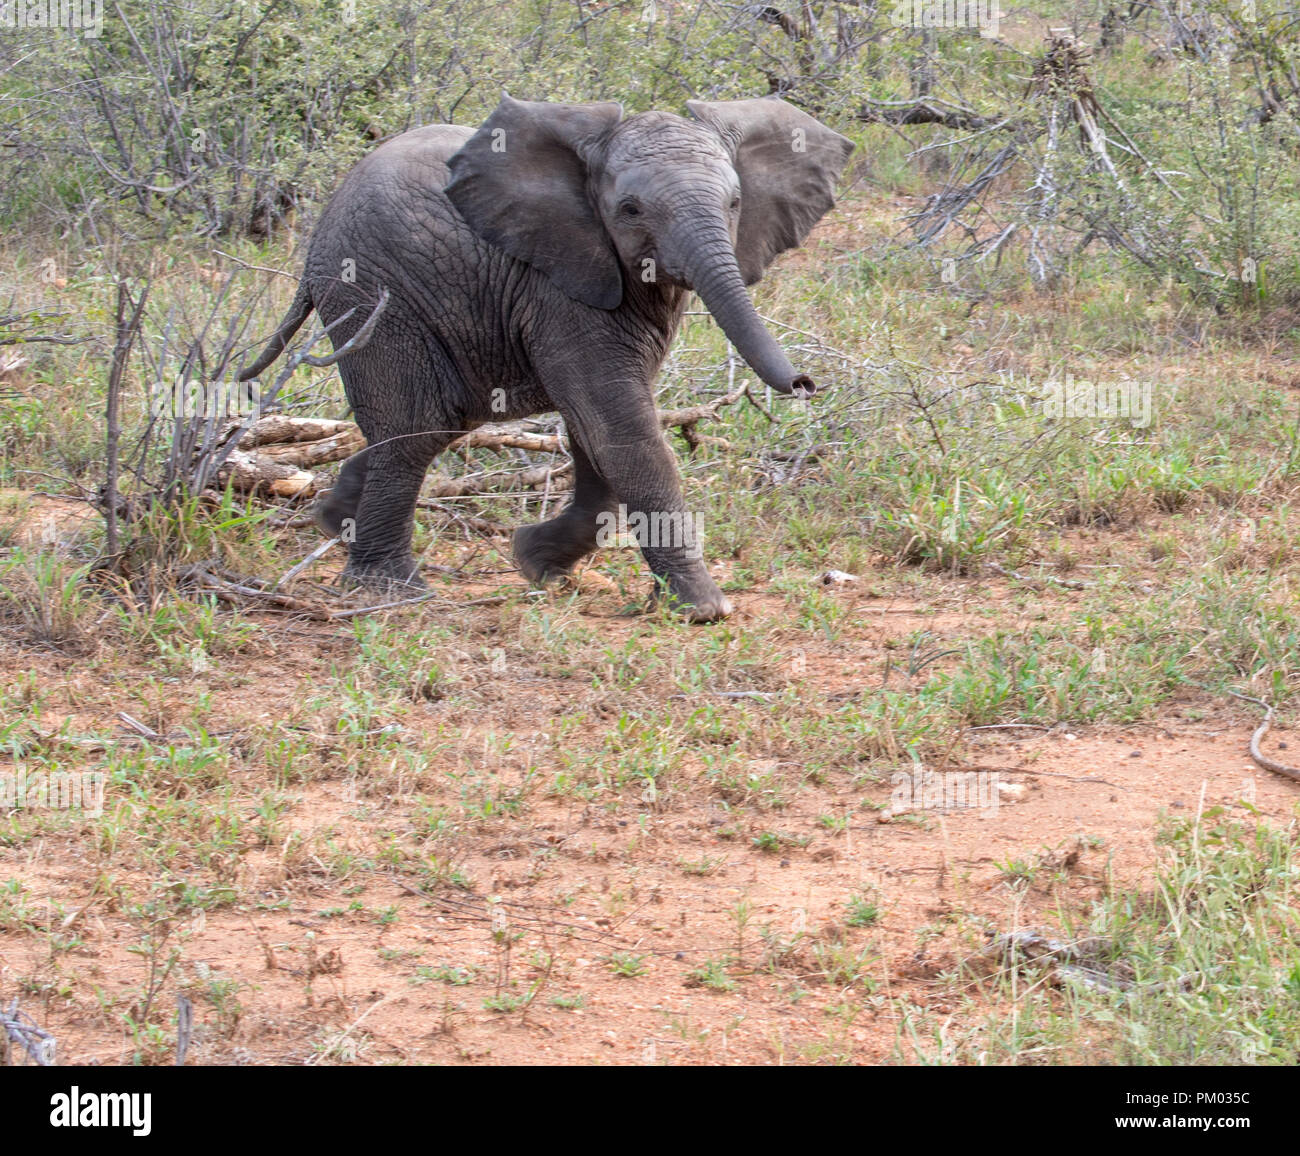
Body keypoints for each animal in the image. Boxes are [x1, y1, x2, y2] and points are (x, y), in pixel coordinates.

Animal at [239, 95, 853, 621]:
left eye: (734, 204)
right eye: (629, 209)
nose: (805, 383)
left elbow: (594, 431)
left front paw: (535, 564)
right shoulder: (559, 286)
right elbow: (618, 426)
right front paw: (704, 609)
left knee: (440, 422)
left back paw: (333, 520)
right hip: (370, 294)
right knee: (415, 429)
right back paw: (391, 591)